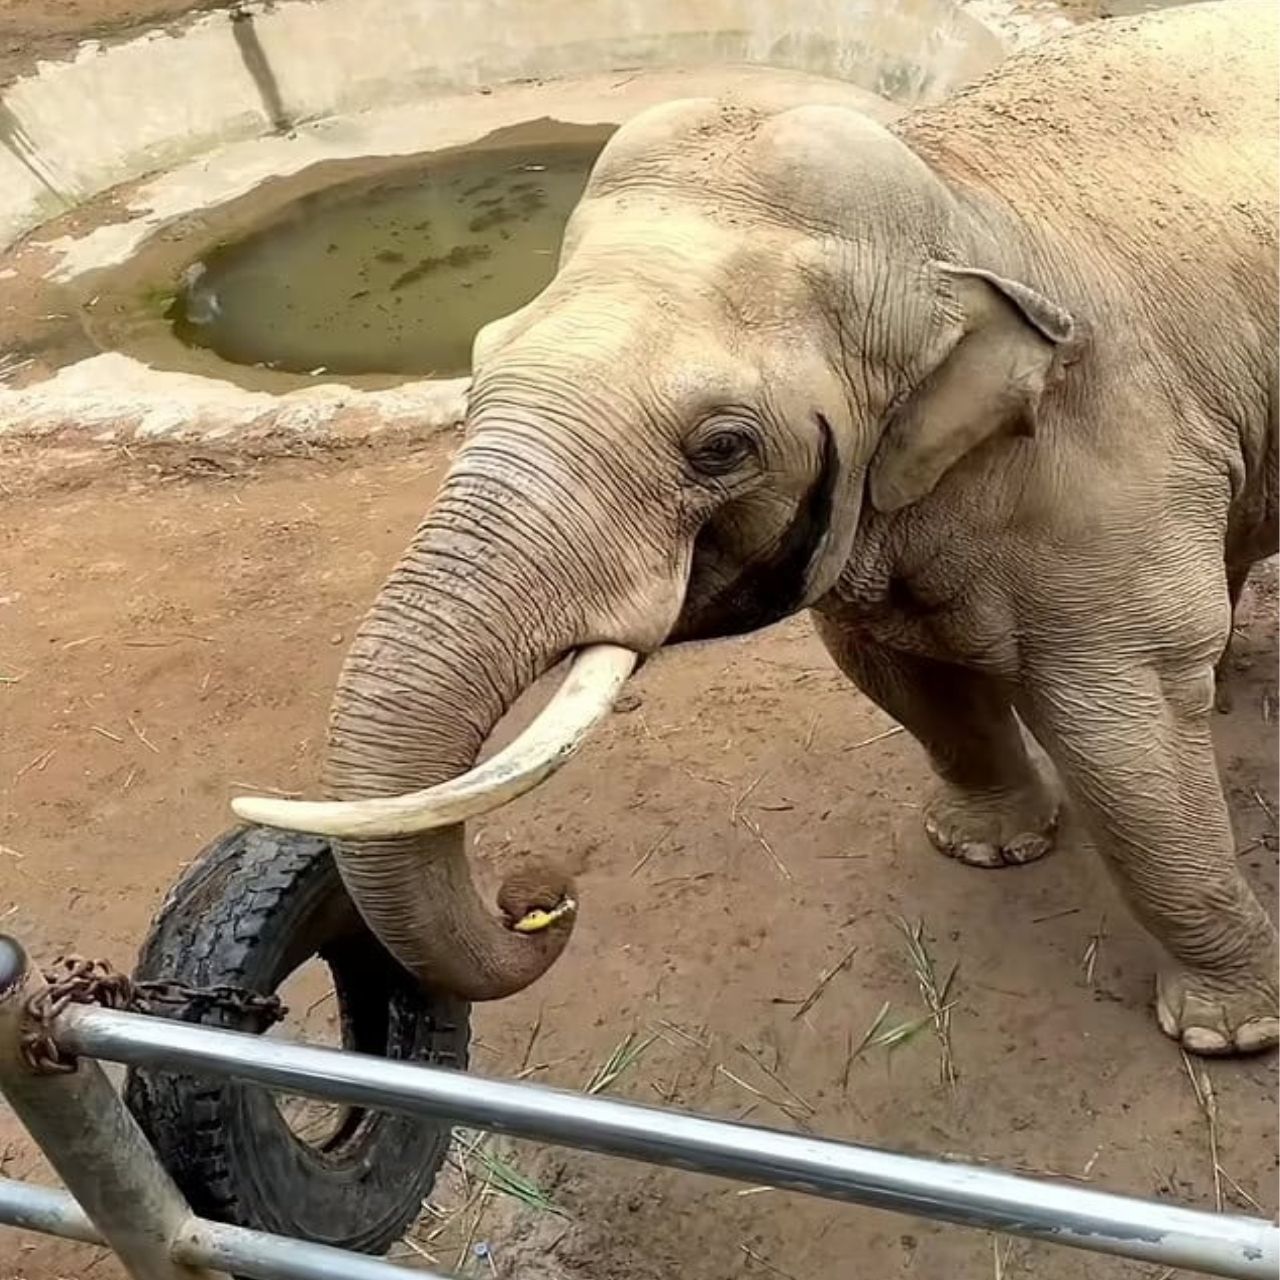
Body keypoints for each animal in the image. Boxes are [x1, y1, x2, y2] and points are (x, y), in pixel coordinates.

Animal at [237, 0, 1279, 1057]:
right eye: (480, 362)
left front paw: (1229, 1035)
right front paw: (987, 849)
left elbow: (1125, 735)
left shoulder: (1109, 445)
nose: (538, 896)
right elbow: (901, 675)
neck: (953, 192)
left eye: (722, 447)